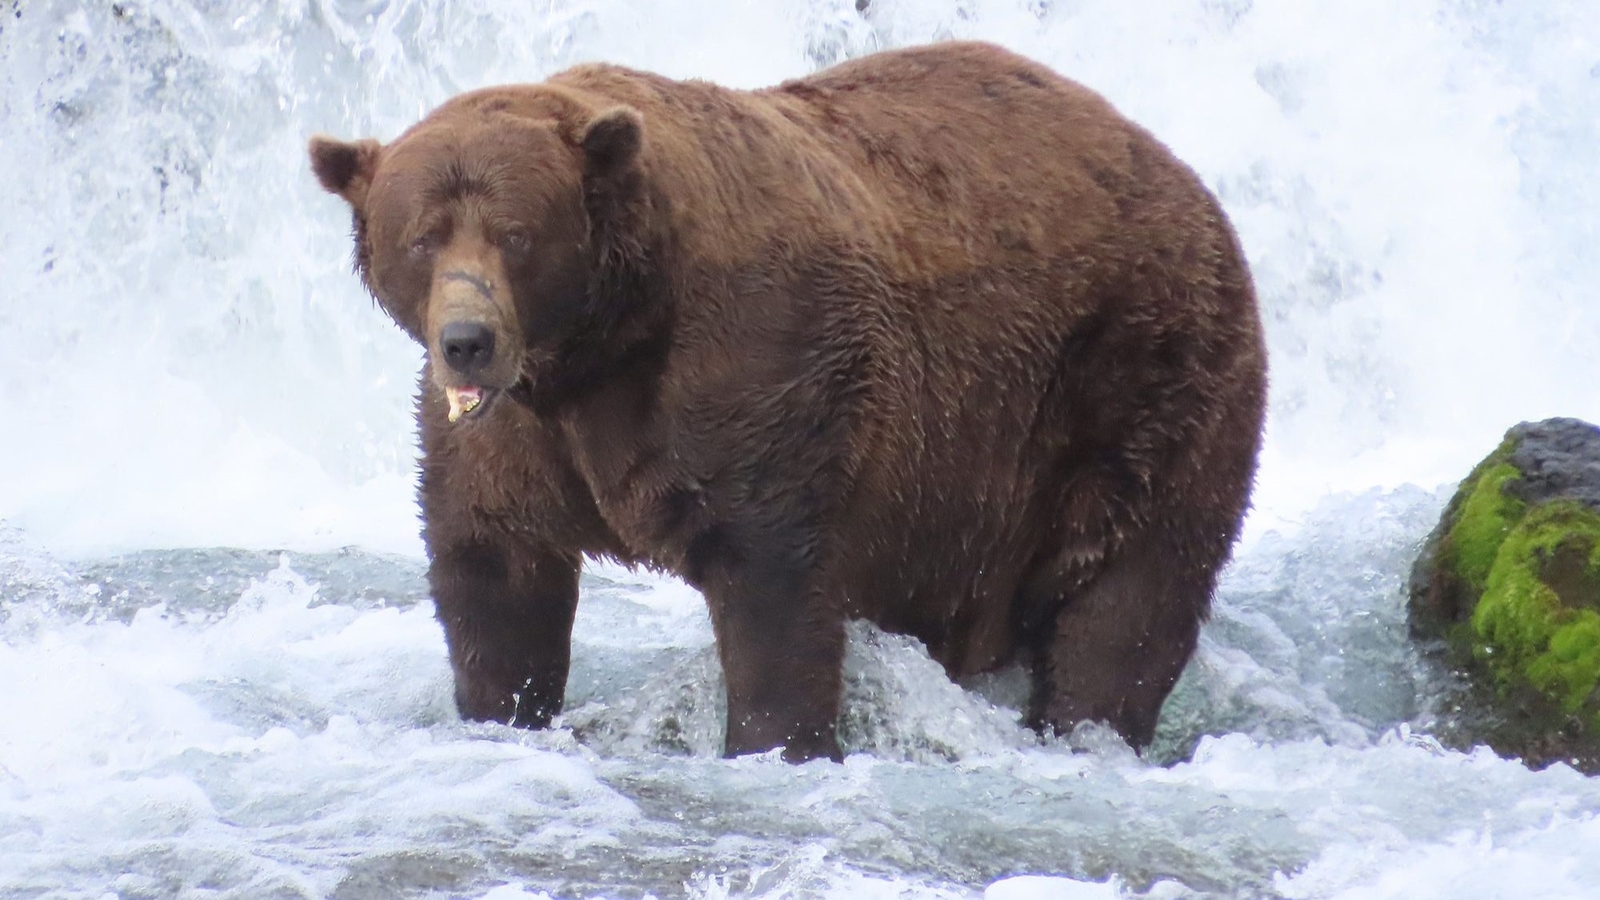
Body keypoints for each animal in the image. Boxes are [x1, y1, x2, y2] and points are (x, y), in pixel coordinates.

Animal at [308, 40, 1268, 763]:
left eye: (516, 234)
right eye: (422, 237)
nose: (467, 339)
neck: (600, 348)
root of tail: (1181, 173)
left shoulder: (758, 369)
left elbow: (772, 581)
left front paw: (775, 741)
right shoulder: (513, 437)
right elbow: (494, 569)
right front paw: (503, 709)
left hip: (1139, 377)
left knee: (1130, 594)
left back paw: (1087, 727)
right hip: (970, 492)